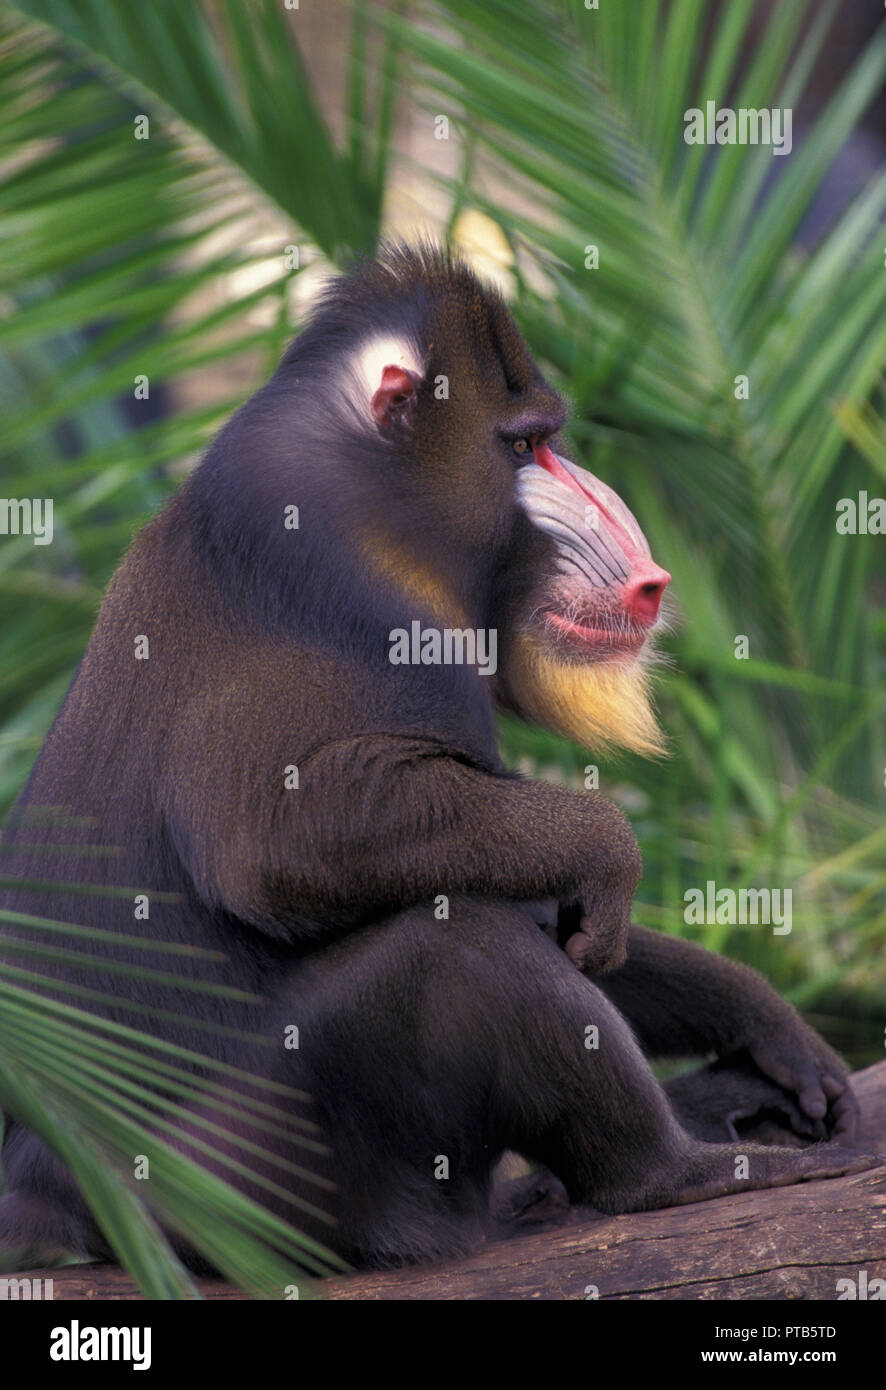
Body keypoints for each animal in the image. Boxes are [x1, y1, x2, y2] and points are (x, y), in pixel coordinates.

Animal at [0, 244, 875, 1272]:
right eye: (522, 447)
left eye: (548, 439)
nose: (652, 581)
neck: (373, 498)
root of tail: (48, 1197)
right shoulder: (370, 610)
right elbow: (270, 838)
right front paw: (611, 848)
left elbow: (553, 905)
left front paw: (767, 1022)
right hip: (253, 1186)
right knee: (459, 949)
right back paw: (672, 1168)